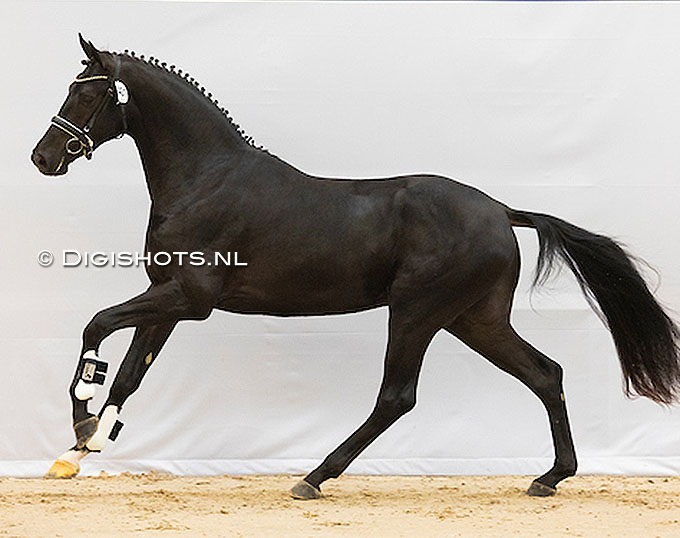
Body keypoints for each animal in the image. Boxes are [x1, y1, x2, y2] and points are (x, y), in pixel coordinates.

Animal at [31, 35, 680, 499]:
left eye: (85, 94)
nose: (42, 157)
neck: (206, 178)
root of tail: (499, 211)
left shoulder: (190, 299)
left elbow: (96, 326)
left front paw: (81, 426)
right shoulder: (168, 295)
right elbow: (129, 374)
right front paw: (81, 450)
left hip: (417, 312)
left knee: (397, 396)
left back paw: (314, 478)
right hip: (475, 319)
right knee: (545, 373)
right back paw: (550, 478)